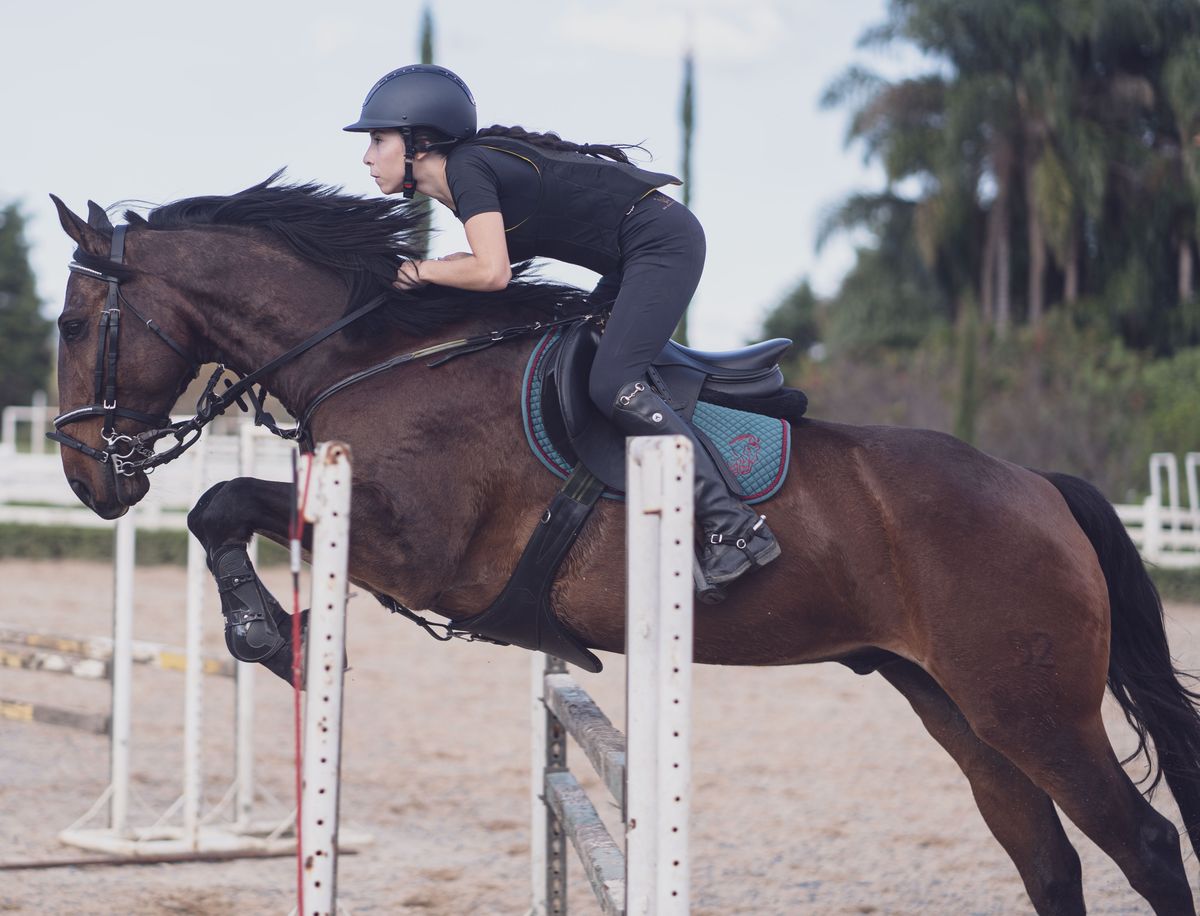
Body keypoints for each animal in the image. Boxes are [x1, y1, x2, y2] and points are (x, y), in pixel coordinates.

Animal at [48, 176, 1200, 914]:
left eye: (68, 323)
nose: (88, 478)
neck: (379, 355)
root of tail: (1040, 488)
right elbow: (219, 509)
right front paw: (273, 634)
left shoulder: (412, 546)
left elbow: (219, 503)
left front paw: (272, 637)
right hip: (957, 708)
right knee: (1047, 859)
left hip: (1030, 706)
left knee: (1144, 843)